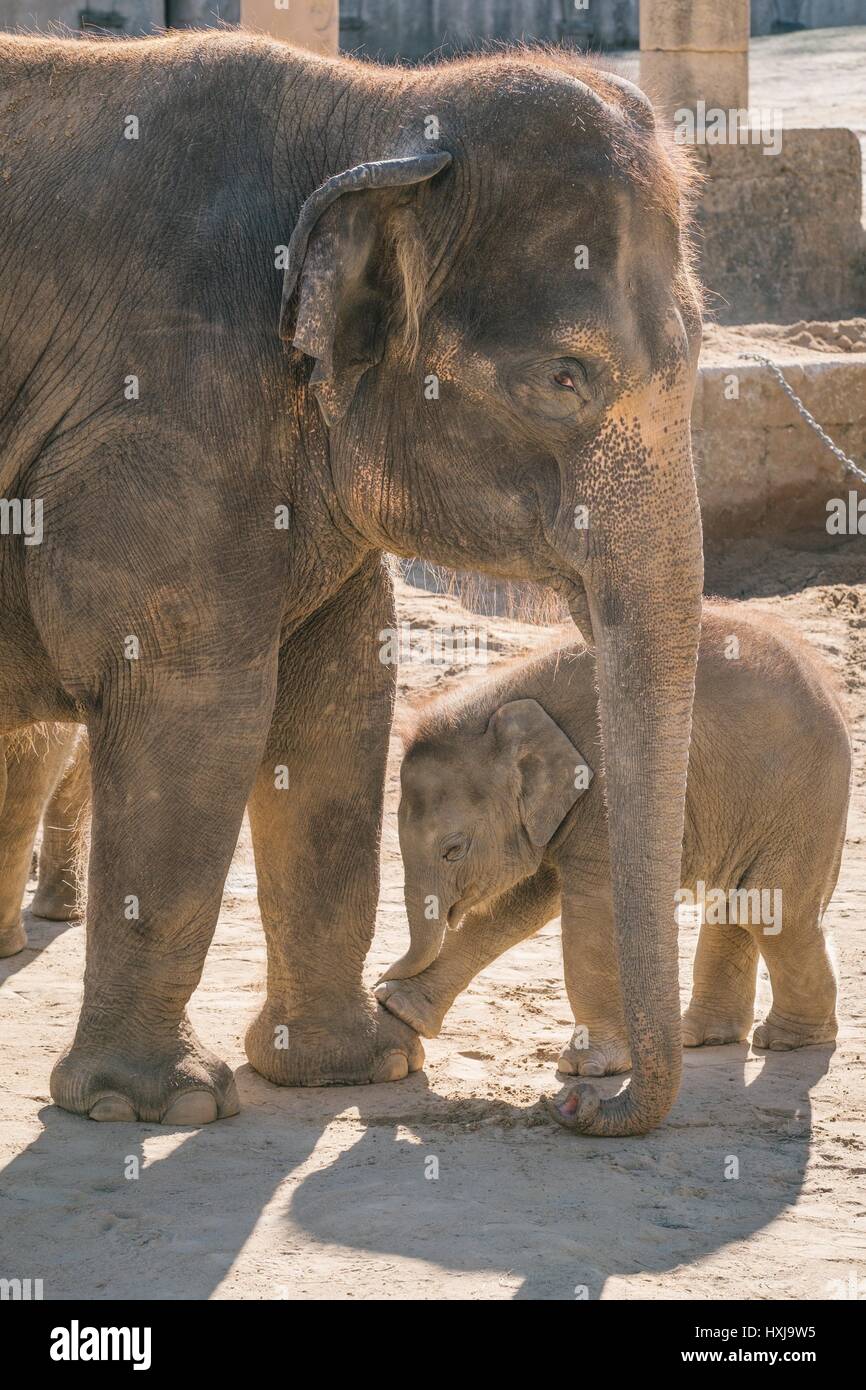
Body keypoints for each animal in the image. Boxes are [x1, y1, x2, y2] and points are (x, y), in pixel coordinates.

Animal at [0, 29, 704, 1132]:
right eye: (564, 379)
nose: (582, 1104)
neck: (376, 114)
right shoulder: (158, 414)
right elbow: (197, 706)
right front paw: (154, 1104)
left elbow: (338, 700)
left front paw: (355, 1064)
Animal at [378, 601, 849, 1128]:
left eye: (454, 850)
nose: (376, 980)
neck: (505, 701)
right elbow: (525, 905)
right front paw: (400, 1008)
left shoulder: (603, 788)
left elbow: (586, 914)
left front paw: (588, 1069)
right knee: (735, 905)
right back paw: (702, 1037)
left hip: (805, 800)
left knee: (769, 911)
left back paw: (791, 1040)